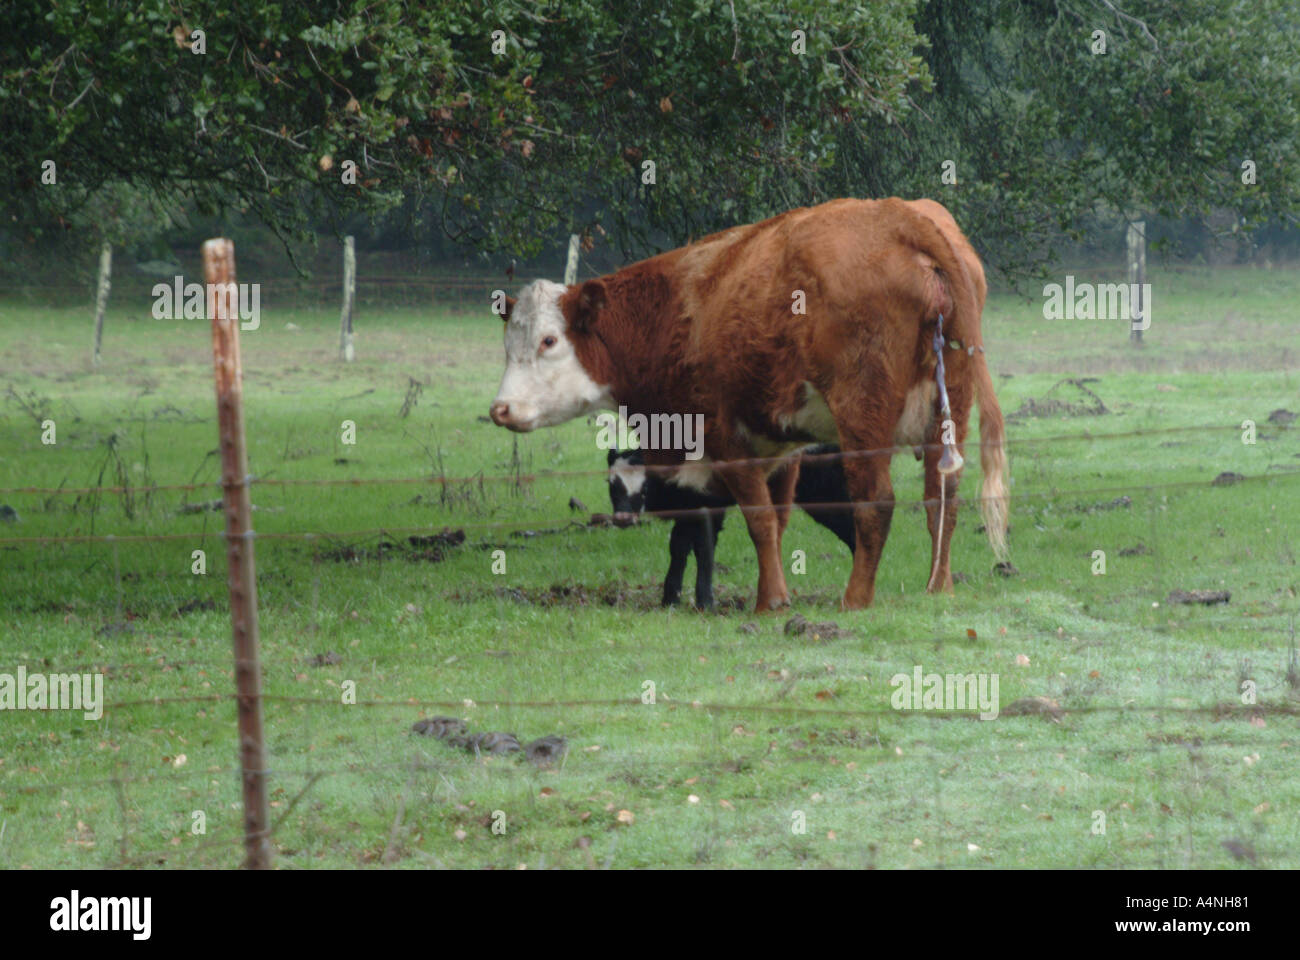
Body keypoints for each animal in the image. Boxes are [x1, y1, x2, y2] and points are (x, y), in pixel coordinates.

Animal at [607, 444, 856, 609]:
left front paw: (705, 602)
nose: (622, 518)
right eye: (612, 485)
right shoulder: (687, 509)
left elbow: (704, 549)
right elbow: (678, 548)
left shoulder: (710, 508)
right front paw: (670, 599)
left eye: (645, 486)